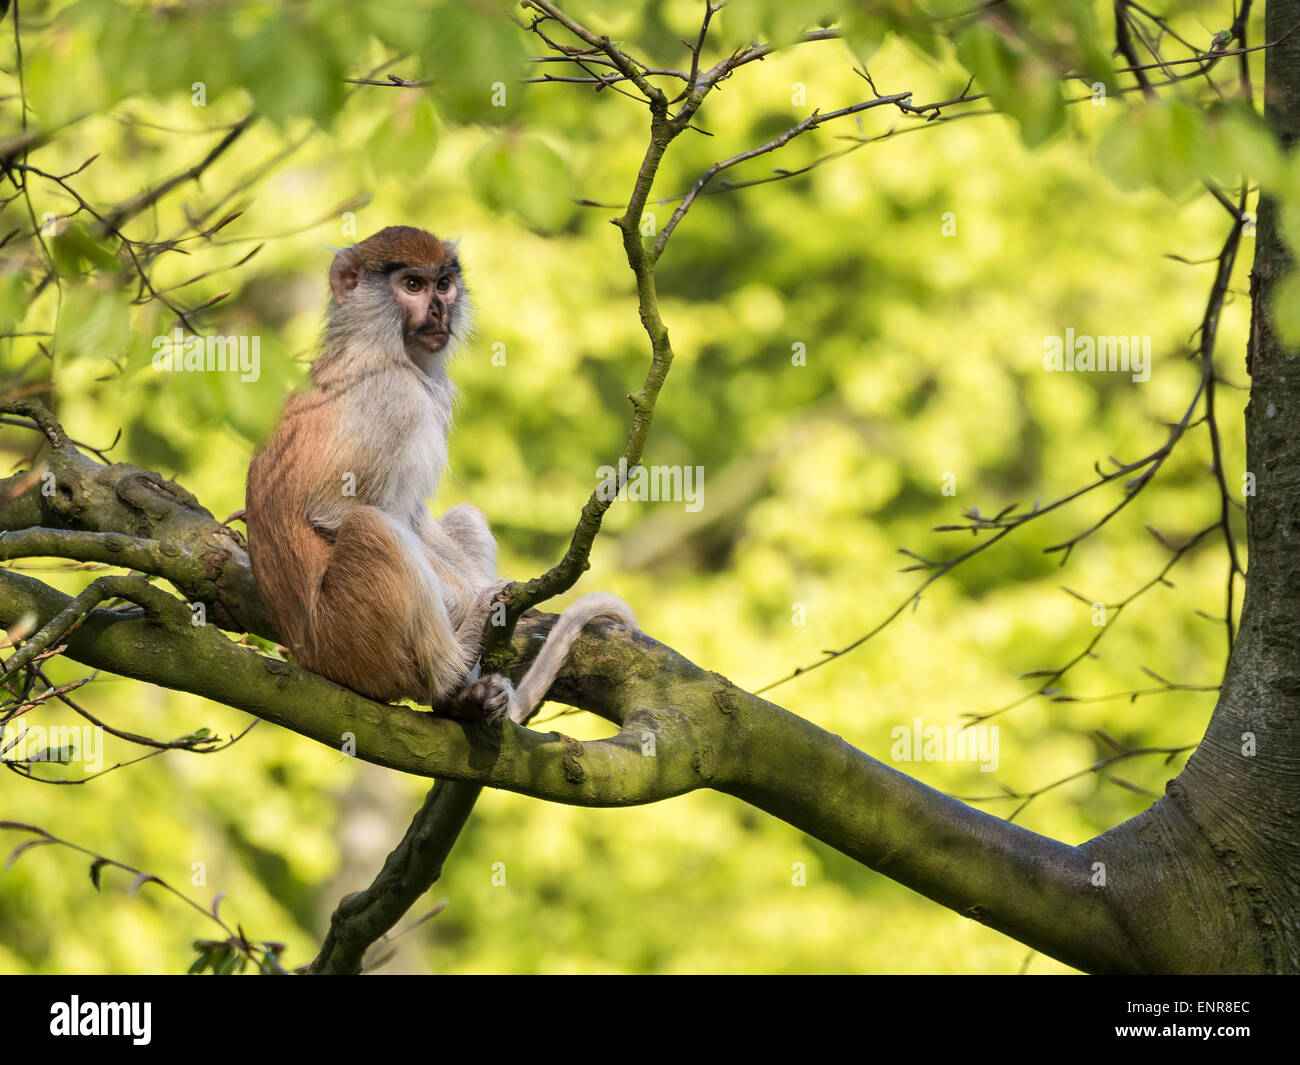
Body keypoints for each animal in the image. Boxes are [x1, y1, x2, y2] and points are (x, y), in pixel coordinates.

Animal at [245, 225, 636, 724]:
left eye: (444, 284)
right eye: (412, 285)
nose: (438, 309)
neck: (380, 345)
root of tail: (311, 659)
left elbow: (415, 517)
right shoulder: (393, 398)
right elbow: (334, 511)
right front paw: (477, 605)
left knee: (459, 518)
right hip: (354, 642)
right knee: (371, 528)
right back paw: (451, 673)